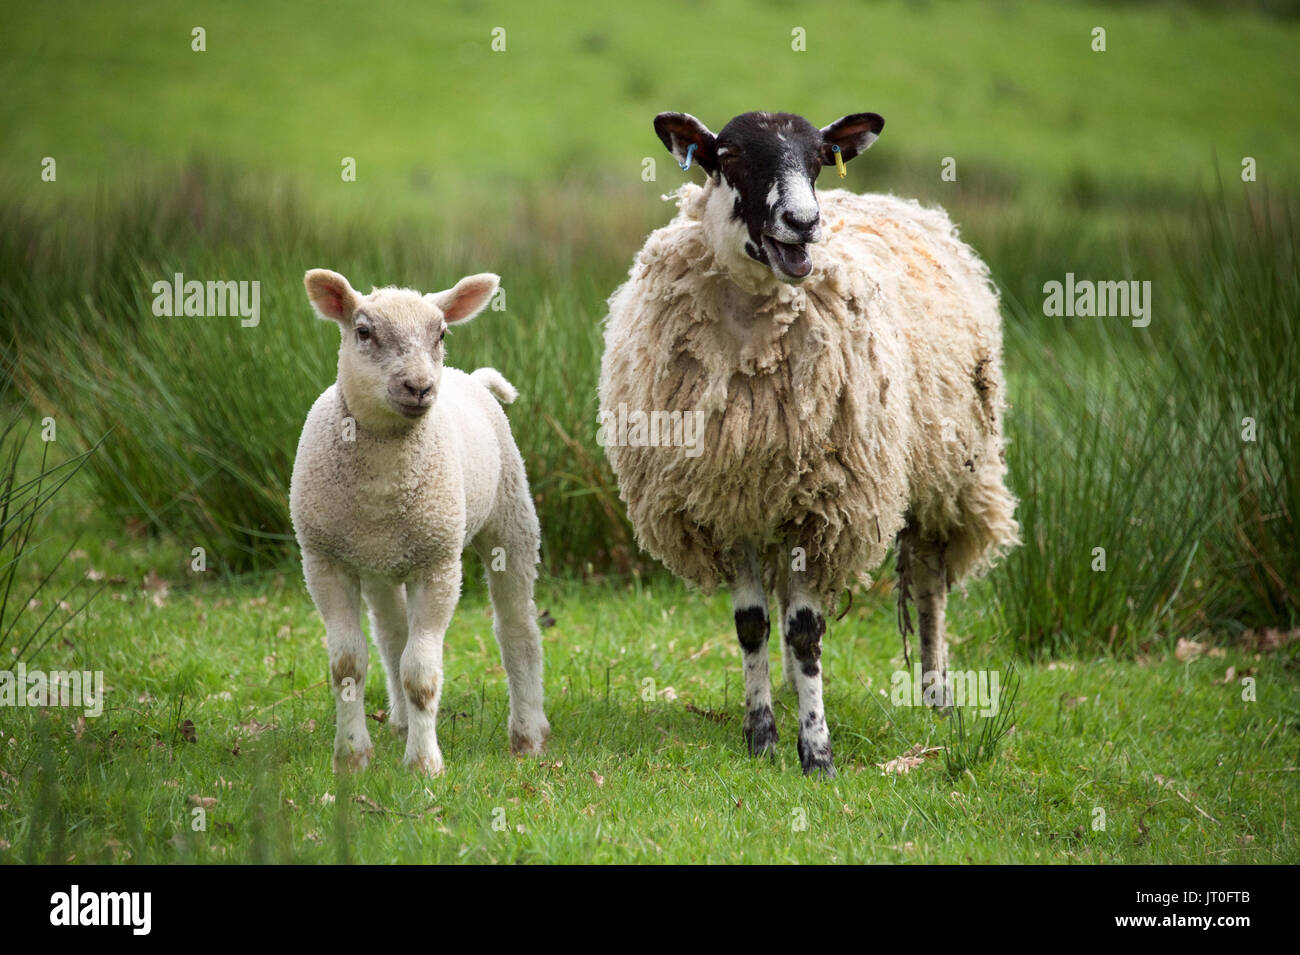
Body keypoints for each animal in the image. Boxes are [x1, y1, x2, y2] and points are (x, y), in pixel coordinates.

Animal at [291, 268, 549, 775]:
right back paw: (402, 724)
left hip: (511, 516)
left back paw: (528, 735)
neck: (381, 484)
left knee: (517, 628)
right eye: (363, 331)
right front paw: (352, 756)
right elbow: (348, 666)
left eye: (442, 334)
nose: (419, 387)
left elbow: (422, 672)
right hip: (381, 561)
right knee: (392, 637)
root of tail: (472, 378)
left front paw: (424, 764)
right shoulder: (324, 560)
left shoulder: (439, 562)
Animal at [598, 110, 1019, 776]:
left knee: (929, 585)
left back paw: (937, 698)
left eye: (820, 158)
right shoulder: (728, 502)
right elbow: (752, 625)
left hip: (950, 474)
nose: (803, 222)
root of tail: (902, 203)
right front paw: (761, 735)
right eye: (728, 156)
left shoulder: (820, 506)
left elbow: (804, 631)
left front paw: (816, 750)